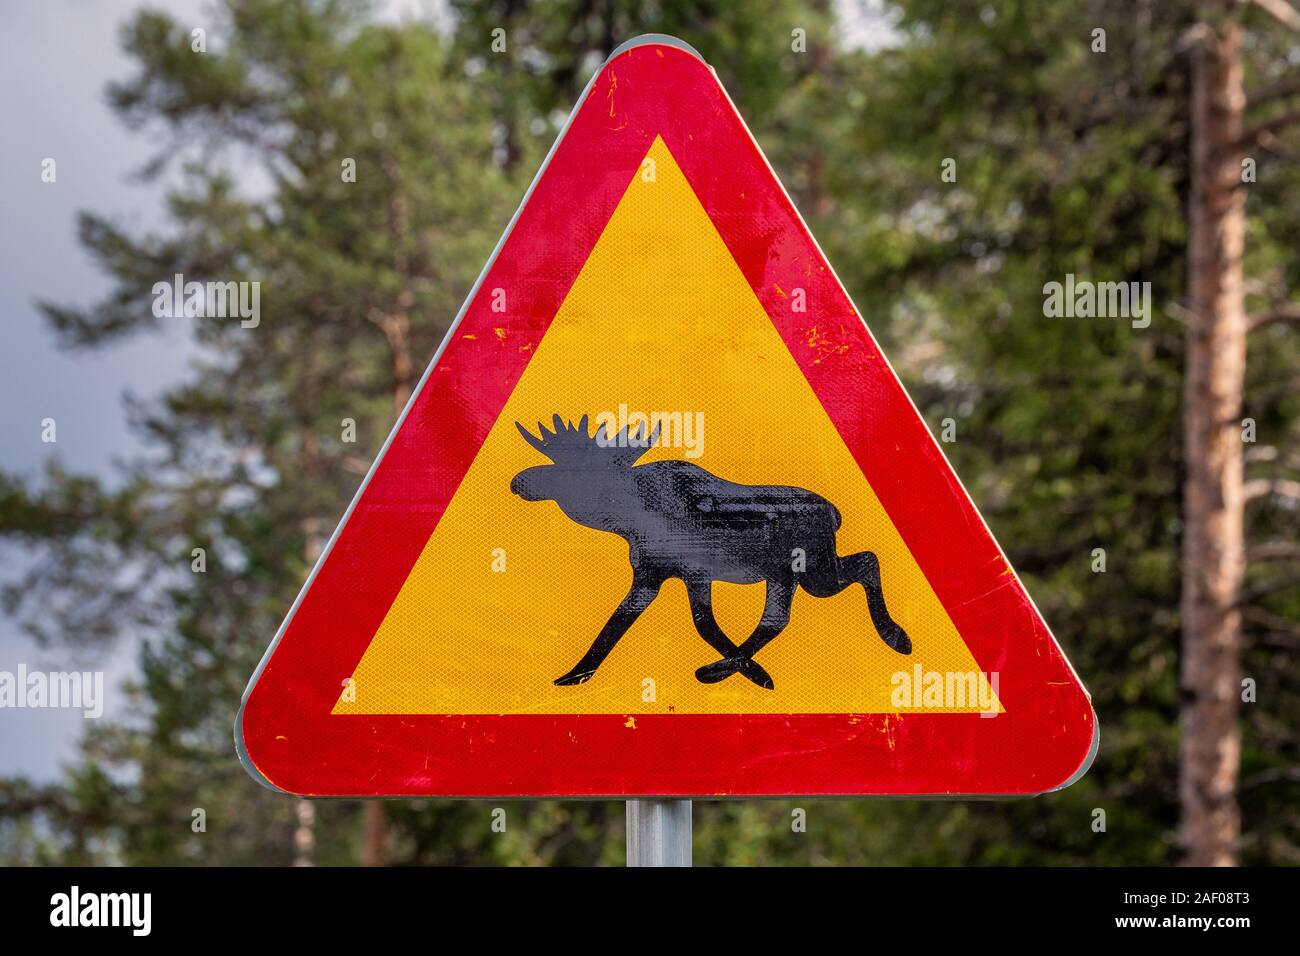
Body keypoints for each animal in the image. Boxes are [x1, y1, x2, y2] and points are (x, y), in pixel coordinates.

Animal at [510, 415, 912, 690]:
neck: (630, 518)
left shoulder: (692, 571)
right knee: (787, 612)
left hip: (810, 572)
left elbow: (703, 626)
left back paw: (896, 636)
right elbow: (619, 623)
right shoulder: (657, 574)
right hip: (794, 574)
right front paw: (574, 675)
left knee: (862, 564)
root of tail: (835, 513)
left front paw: (749, 673)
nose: (520, 481)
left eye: (581, 469)